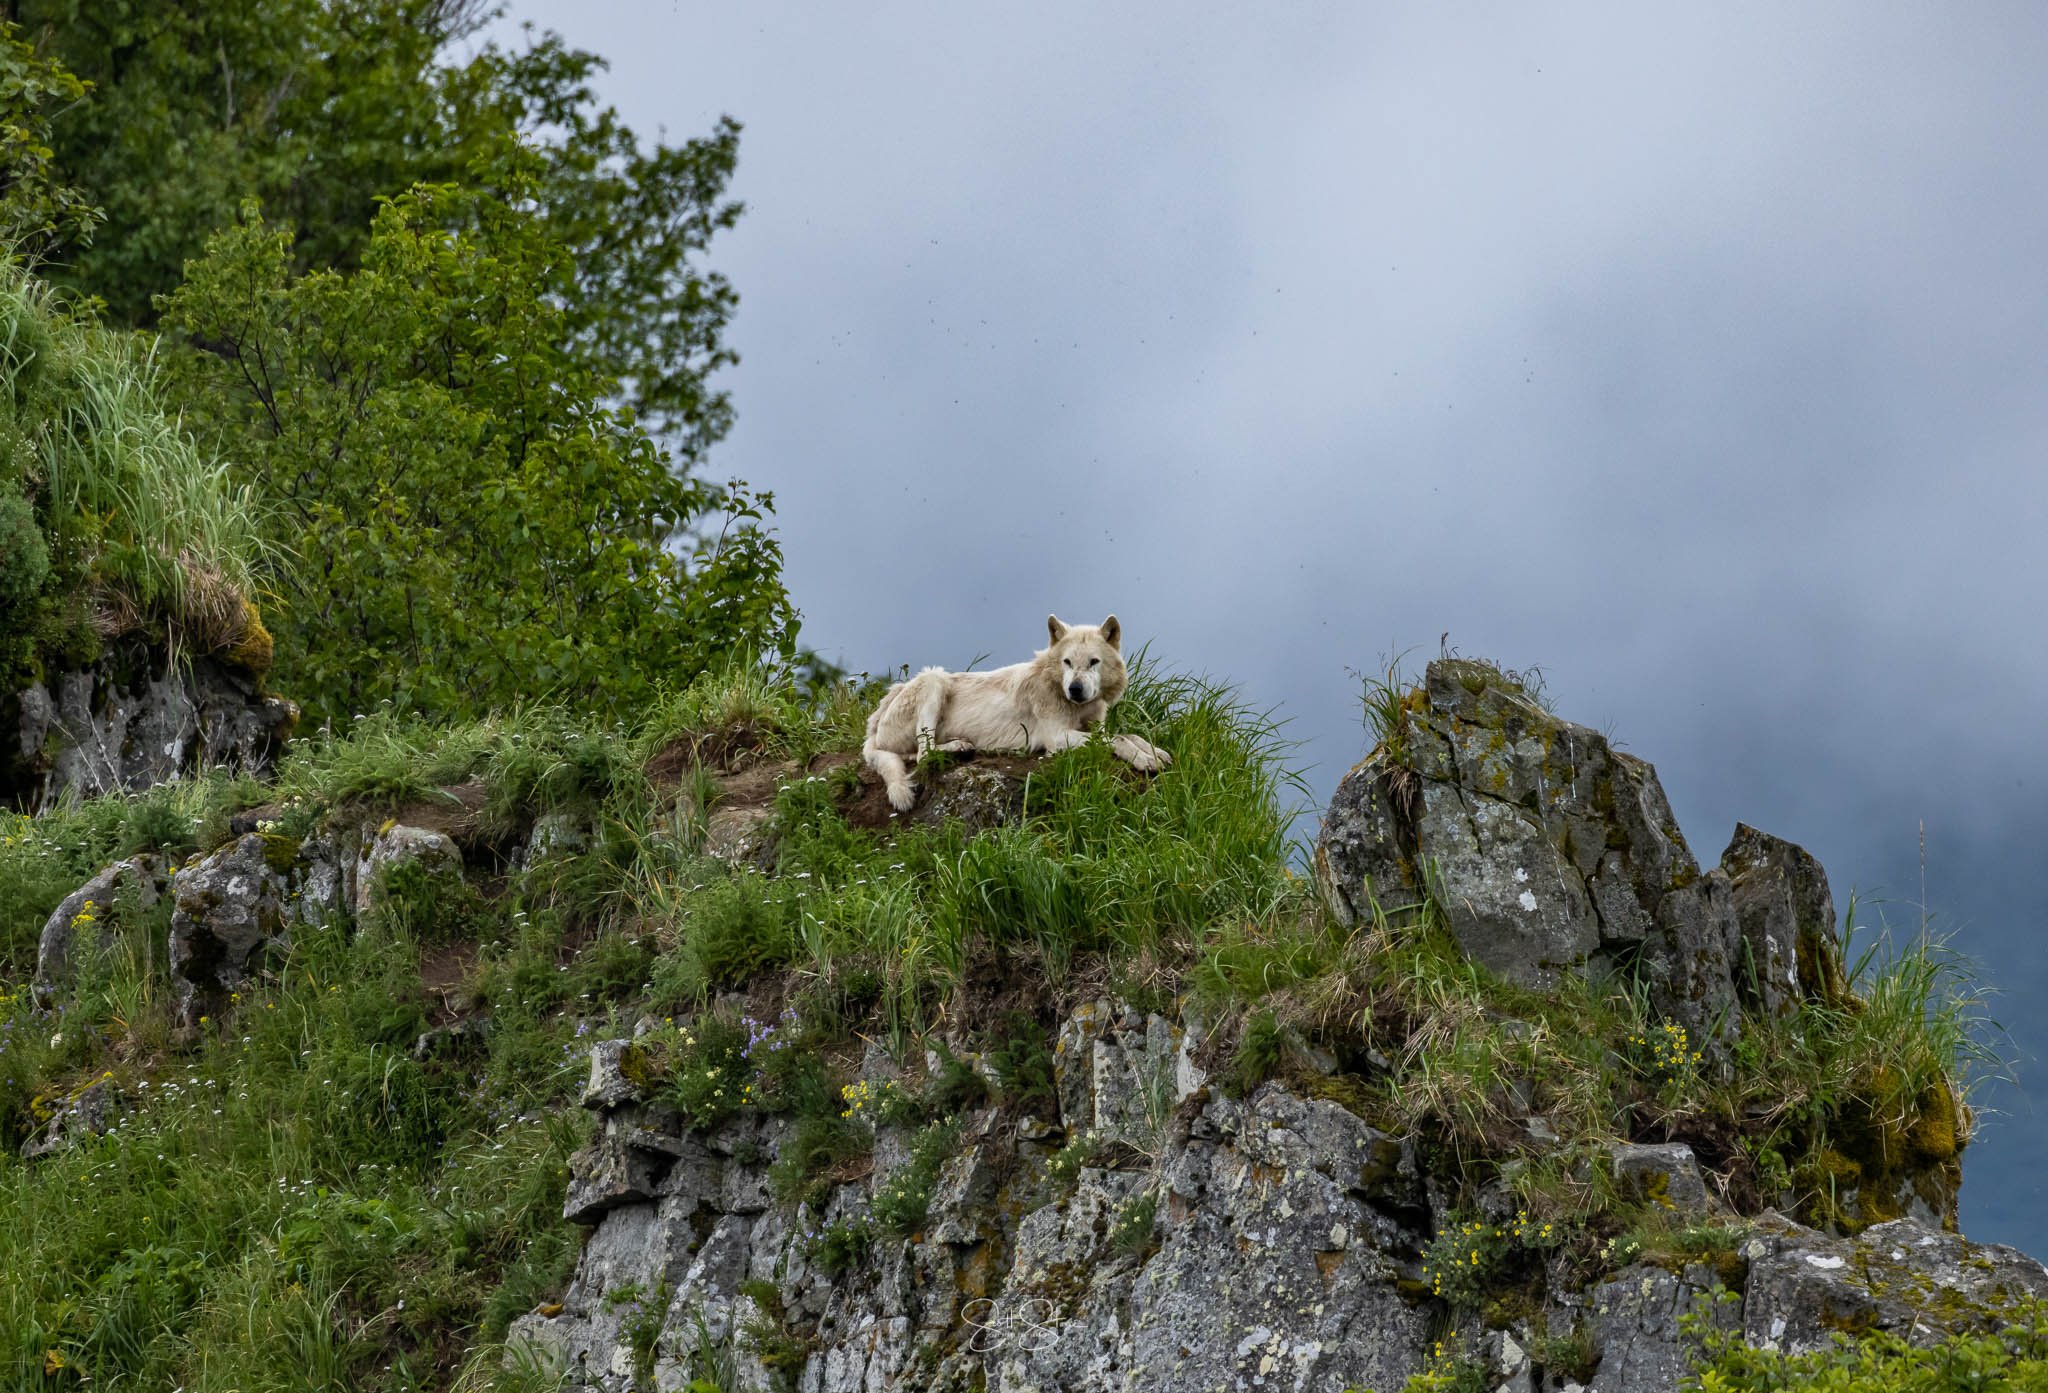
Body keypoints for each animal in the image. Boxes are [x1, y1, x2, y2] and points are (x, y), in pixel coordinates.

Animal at [862, 614, 1172, 812]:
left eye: (1093, 662)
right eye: (1067, 662)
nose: (1075, 689)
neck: (1074, 703)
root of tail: (875, 720)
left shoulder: (1096, 727)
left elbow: (1129, 734)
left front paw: (1155, 752)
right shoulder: (1056, 738)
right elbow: (1118, 739)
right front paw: (1145, 760)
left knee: (911, 754)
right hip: (934, 679)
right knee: (924, 753)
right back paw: (959, 747)